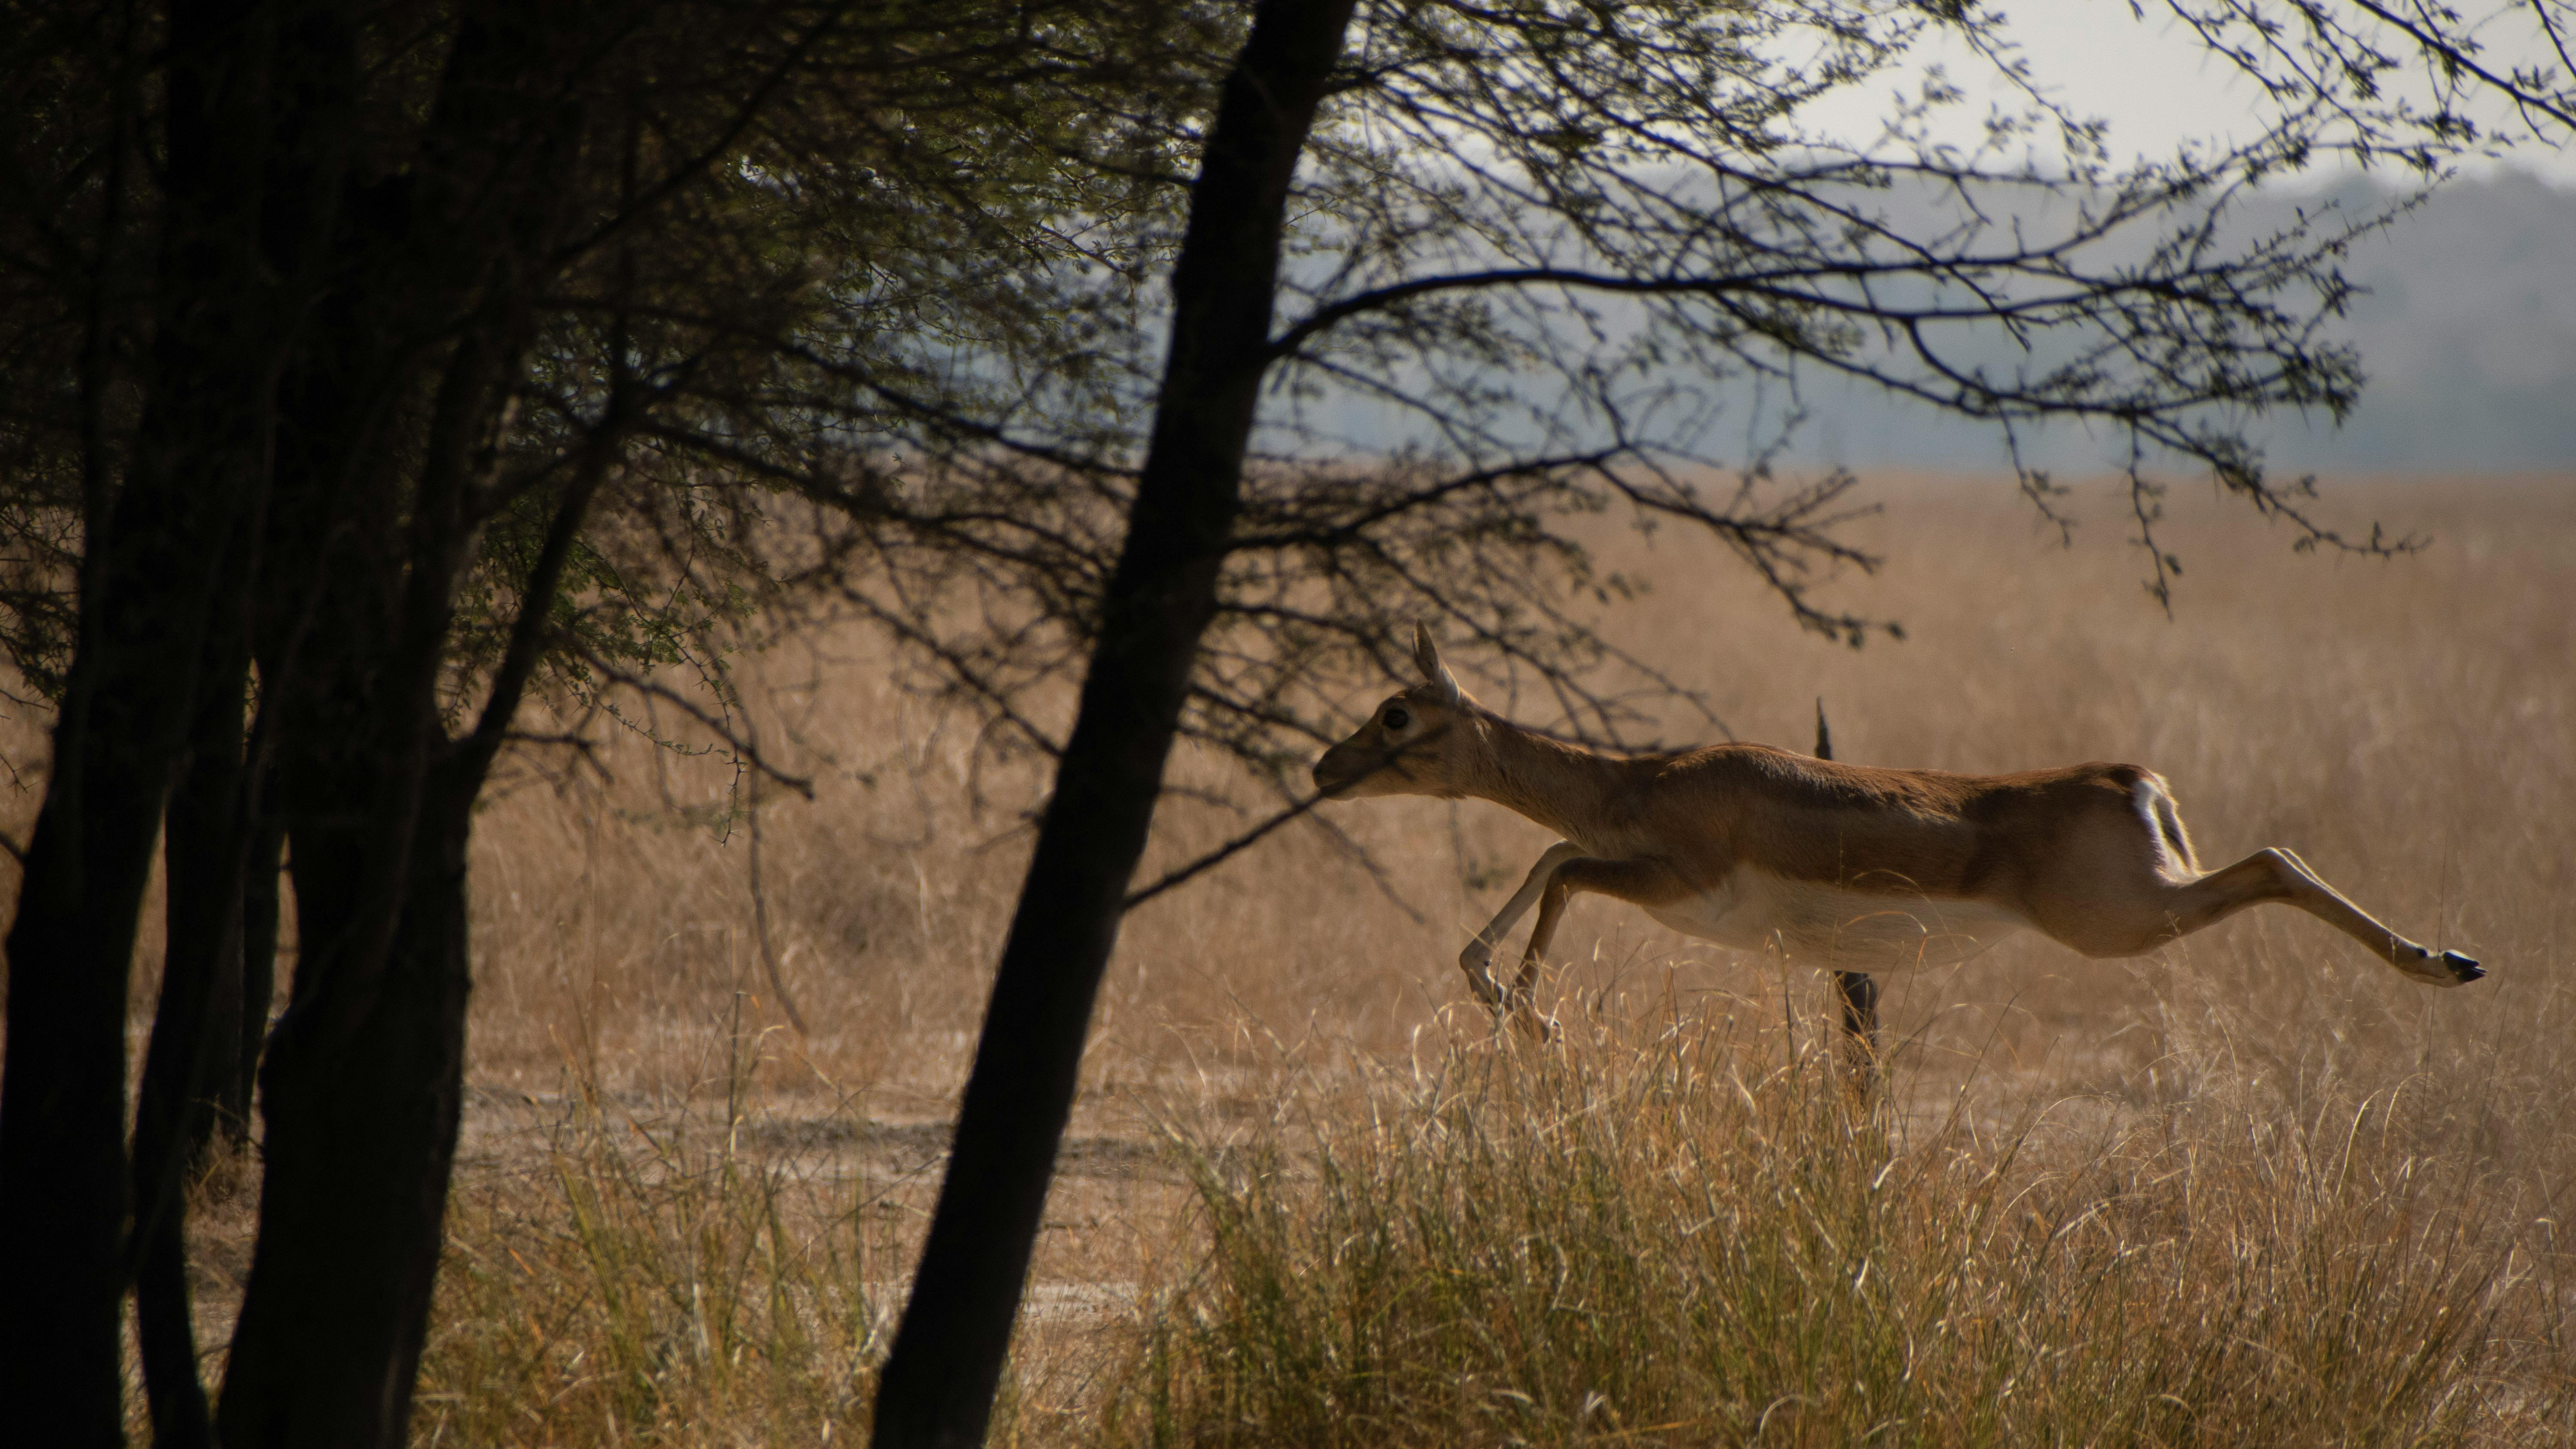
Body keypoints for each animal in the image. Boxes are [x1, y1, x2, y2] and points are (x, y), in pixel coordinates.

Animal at [1311, 626, 2484, 1045]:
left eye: (1397, 714)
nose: (1325, 768)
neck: (1644, 780)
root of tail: (2133, 781)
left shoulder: (1668, 882)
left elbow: (1557, 865)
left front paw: (1527, 1012)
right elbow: (1551, 857)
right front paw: (1519, 1007)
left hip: (2125, 921)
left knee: (2276, 861)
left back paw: (2444, 962)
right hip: (2145, 907)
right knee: (2273, 861)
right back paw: (2449, 960)